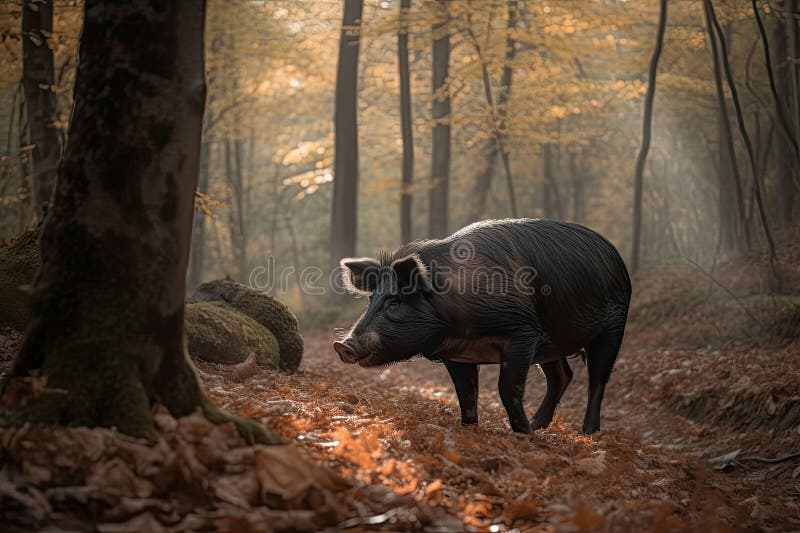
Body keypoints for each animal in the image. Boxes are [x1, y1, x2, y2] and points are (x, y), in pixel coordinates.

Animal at [333, 218, 631, 435]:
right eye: (371, 299)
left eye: (394, 302)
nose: (342, 345)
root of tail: (616, 256)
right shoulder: (457, 354)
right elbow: (465, 394)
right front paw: (470, 429)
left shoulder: (523, 332)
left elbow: (508, 389)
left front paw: (522, 434)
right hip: (552, 343)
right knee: (562, 376)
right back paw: (540, 426)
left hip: (614, 326)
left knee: (597, 379)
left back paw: (588, 433)